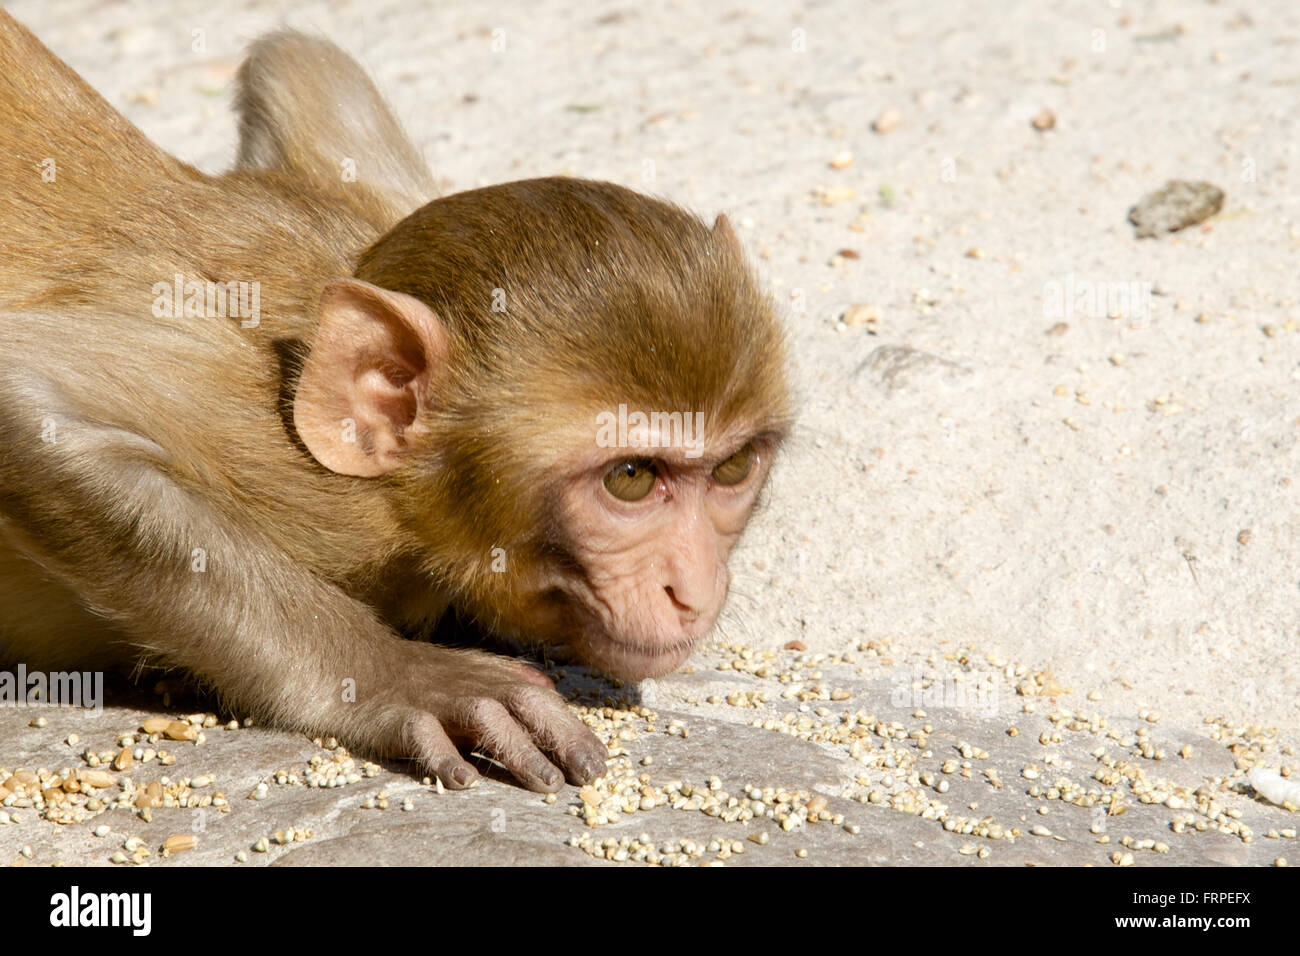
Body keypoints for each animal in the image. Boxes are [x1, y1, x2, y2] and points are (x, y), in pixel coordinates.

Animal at [0, 12, 791, 793]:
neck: (405, 499)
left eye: (733, 470)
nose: (694, 589)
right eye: (630, 478)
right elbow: (24, 393)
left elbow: (298, 60)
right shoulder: (294, 473)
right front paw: (399, 677)